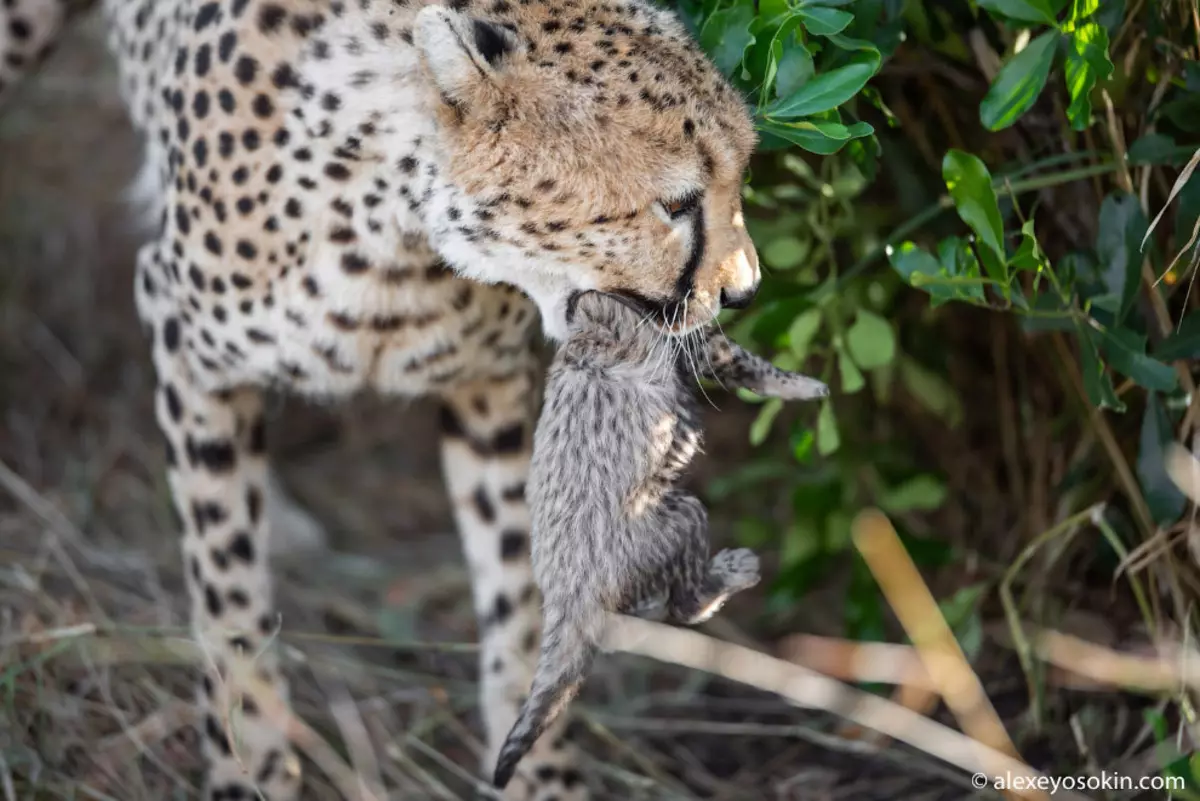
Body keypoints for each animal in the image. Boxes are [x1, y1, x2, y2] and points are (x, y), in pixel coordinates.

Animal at [2, 1, 758, 796]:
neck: (392, 216)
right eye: (676, 203)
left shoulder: (489, 387)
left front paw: (538, 767)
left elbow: (518, 586)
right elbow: (227, 586)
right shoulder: (189, 354)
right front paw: (251, 761)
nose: (746, 288)